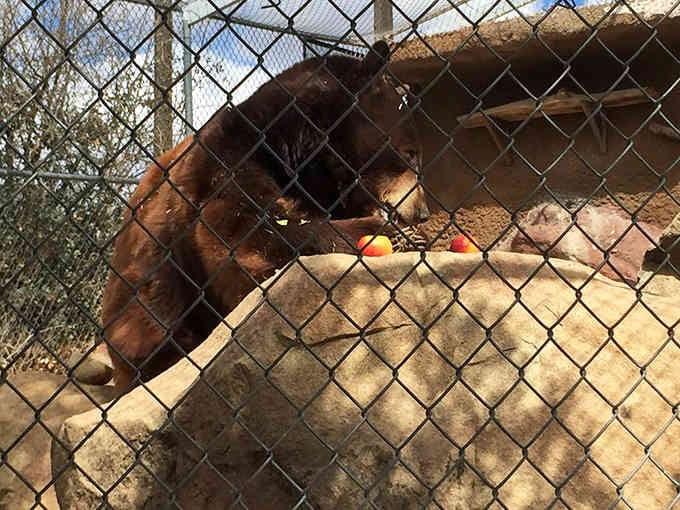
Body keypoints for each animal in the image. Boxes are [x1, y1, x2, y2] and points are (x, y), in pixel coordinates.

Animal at [101, 41, 430, 393]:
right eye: (411, 153)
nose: (423, 213)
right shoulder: (226, 165)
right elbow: (245, 239)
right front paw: (391, 234)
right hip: (148, 297)